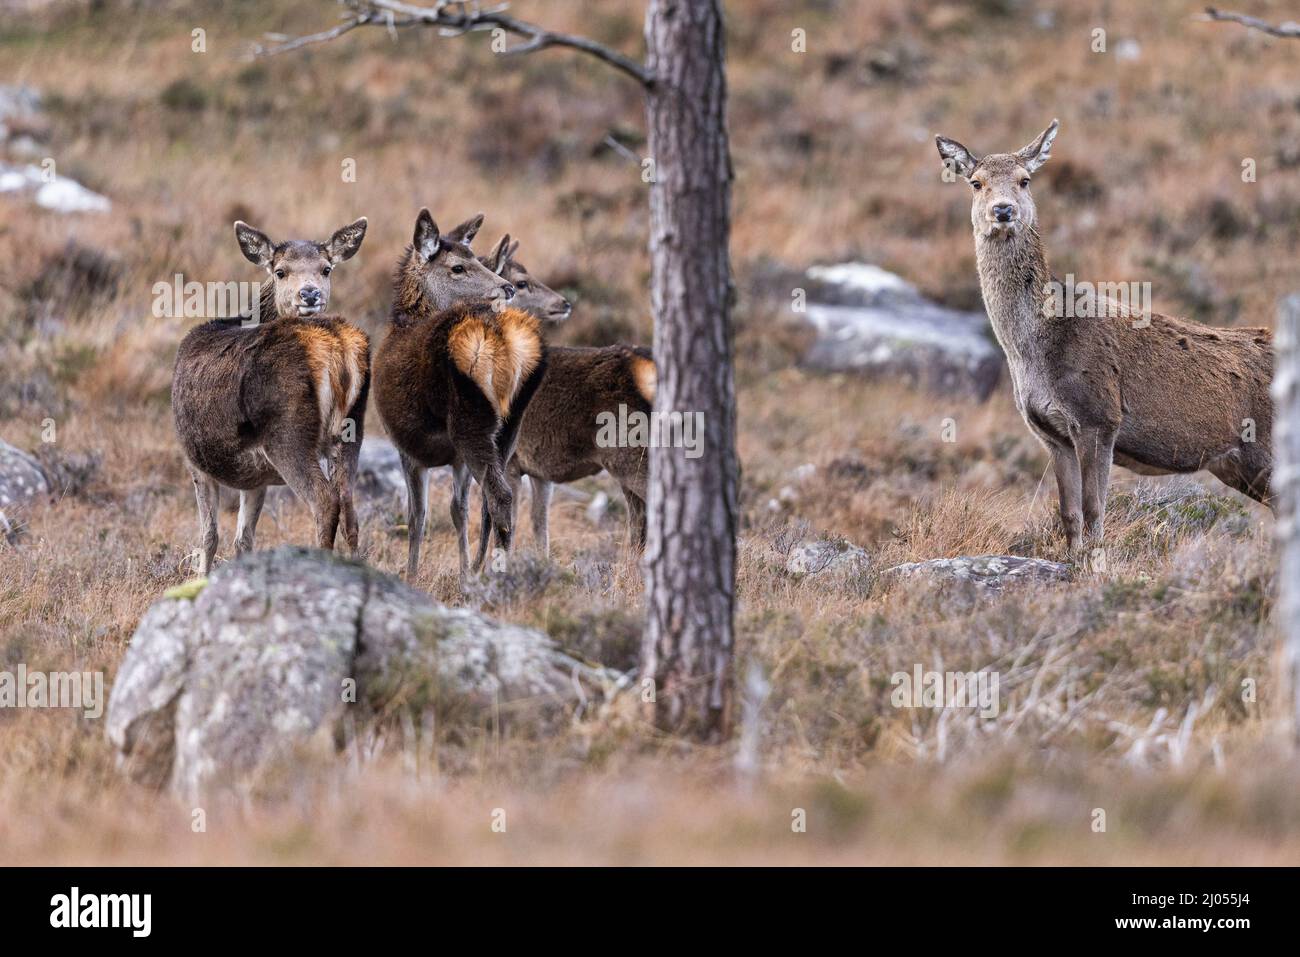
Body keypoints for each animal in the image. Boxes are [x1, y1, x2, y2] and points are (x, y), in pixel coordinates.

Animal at [172, 217, 370, 575]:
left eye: (326, 269)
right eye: (280, 271)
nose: (310, 294)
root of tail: (338, 346)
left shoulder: (194, 460)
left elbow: (209, 536)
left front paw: (202, 578)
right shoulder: (256, 479)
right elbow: (243, 539)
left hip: (287, 434)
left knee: (325, 501)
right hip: (352, 430)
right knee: (350, 507)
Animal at [372, 209, 543, 581]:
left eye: (476, 259)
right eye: (459, 267)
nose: (507, 287)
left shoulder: (405, 445)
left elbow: (417, 516)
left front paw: (411, 575)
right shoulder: (455, 458)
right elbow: (458, 509)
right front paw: (463, 572)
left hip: (470, 419)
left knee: (500, 497)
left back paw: (497, 575)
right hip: (508, 428)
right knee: (496, 501)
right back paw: (485, 570)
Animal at [455, 235, 654, 567]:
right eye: (521, 282)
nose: (564, 303)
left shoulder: (511, 460)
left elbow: (505, 520)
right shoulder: (539, 470)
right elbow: (539, 525)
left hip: (630, 452)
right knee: (639, 519)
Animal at [934, 119, 1273, 551]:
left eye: (1025, 180)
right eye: (976, 183)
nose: (1004, 210)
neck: (1032, 347)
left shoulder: (1099, 417)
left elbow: (1096, 513)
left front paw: (1096, 563)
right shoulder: (1051, 433)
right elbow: (1070, 515)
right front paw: (1074, 562)